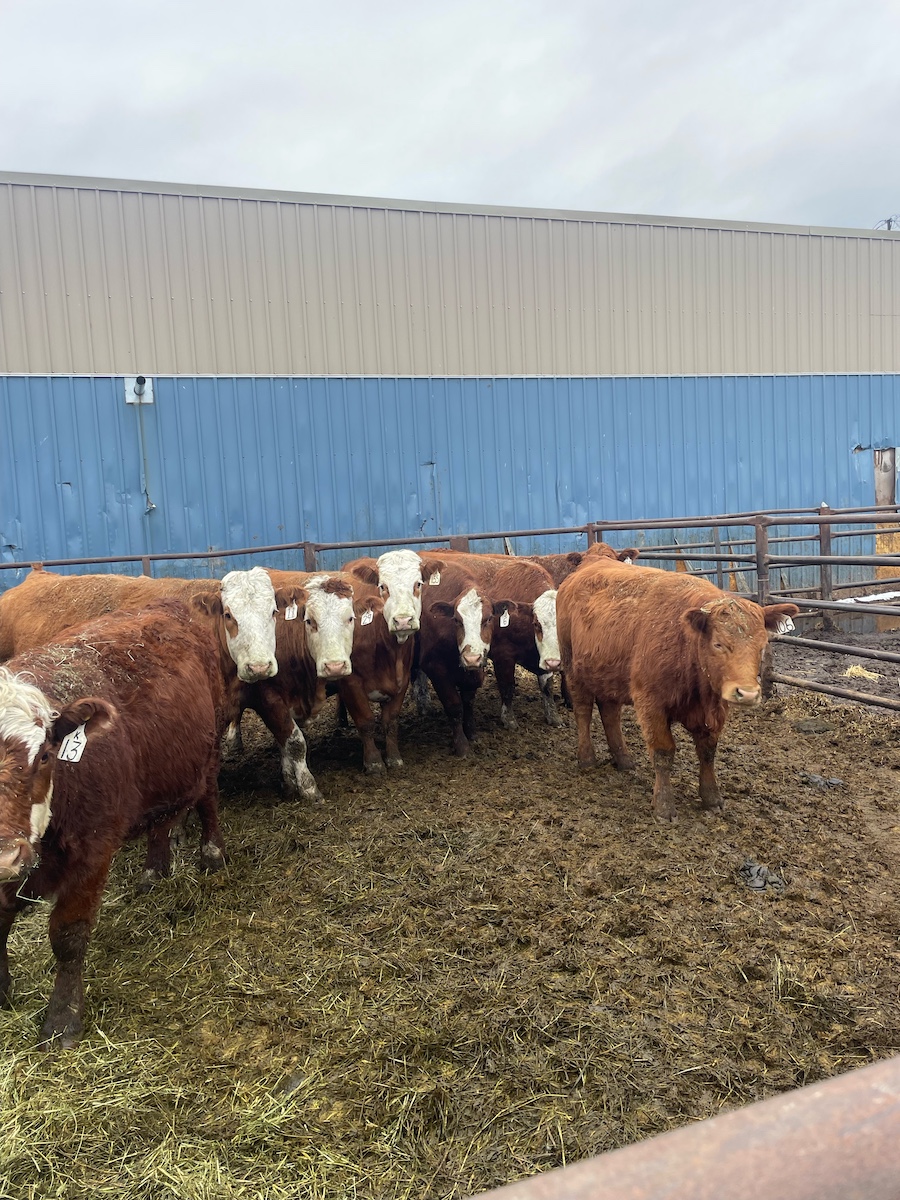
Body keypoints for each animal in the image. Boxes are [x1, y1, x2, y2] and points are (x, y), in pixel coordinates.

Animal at [0, 600, 225, 1047]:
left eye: (45, 757)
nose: (4, 855)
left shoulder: (92, 850)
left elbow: (69, 937)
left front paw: (62, 1019)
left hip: (208, 752)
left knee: (207, 798)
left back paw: (211, 852)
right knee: (163, 820)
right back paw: (155, 869)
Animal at [556, 561, 799, 821]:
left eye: (762, 645)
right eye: (718, 644)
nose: (748, 694)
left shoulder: (714, 711)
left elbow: (707, 751)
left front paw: (711, 797)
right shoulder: (651, 703)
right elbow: (663, 753)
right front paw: (664, 806)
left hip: (608, 675)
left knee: (610, 714)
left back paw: (623, 759)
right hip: (573, 669)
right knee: (583, 711)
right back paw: (586, 758)